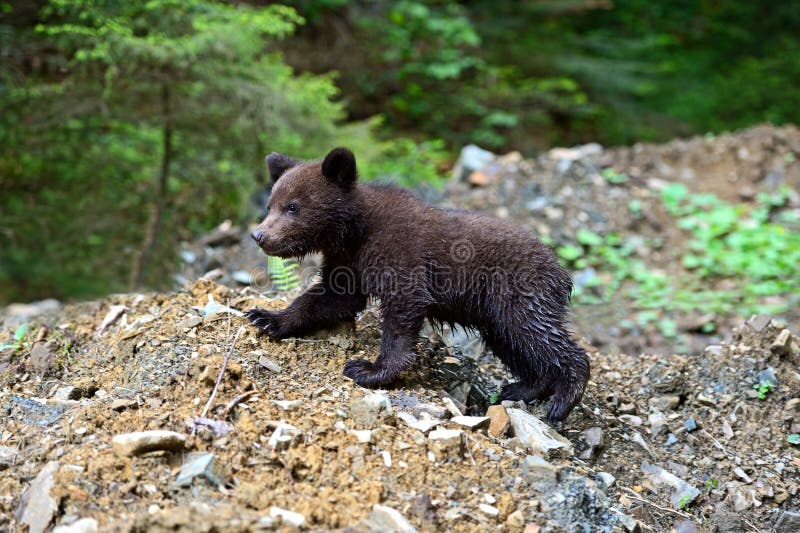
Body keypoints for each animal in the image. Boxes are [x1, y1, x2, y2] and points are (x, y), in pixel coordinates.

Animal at [245, 147, 590, 422]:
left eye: (293, 206)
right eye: (270, 204)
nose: (260, 235)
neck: (354, 231)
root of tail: (560, 270)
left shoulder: (399, 251)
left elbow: (403, 307)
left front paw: (369, 369)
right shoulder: (348, 262)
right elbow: (330, 298)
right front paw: (267, 317)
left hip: (518, 290)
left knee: (536, 333)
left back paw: (563, 399)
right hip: (493, 313)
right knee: (516, 343)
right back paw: (522, 387)